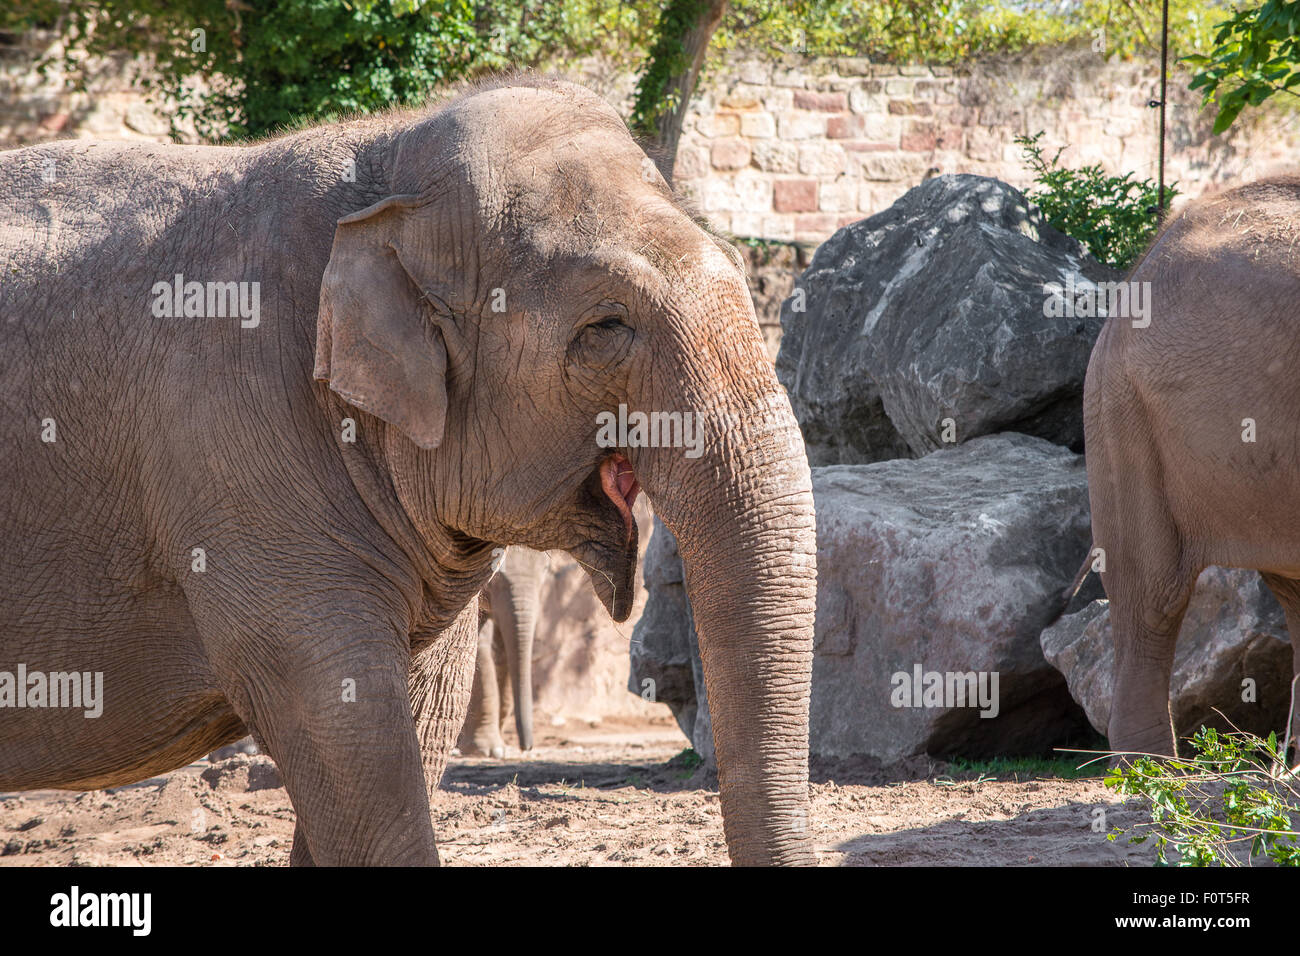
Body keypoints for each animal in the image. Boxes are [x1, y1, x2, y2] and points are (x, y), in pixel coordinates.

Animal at [457, 546, 551, 757]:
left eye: (545, 570)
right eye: (494, 577)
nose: (527, 747)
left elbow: (503, 652)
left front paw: (500, 747)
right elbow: (478, 646)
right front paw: (491, 751)